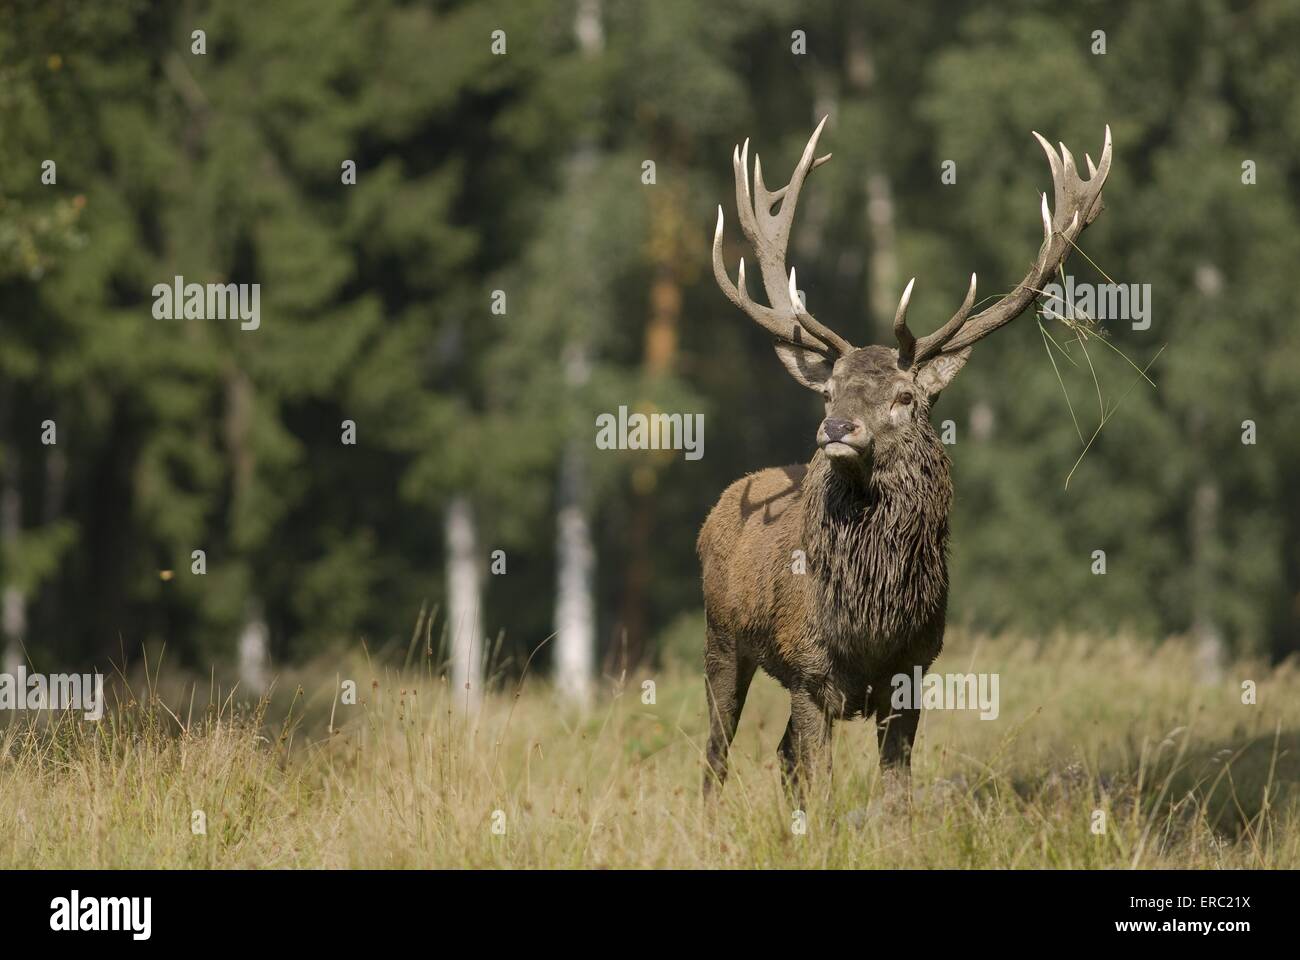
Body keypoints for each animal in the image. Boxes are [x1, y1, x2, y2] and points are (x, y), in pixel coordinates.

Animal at [698, 116, 1112, 800]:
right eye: (830, 389)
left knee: (777, 754)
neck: (872, 623)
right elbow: (820, 784)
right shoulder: (810, 671)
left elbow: (895, 795)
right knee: (716, 753)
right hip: (722, 637)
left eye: (905, 396)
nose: (836, 427)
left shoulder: (915, 671)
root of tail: (718, 508)